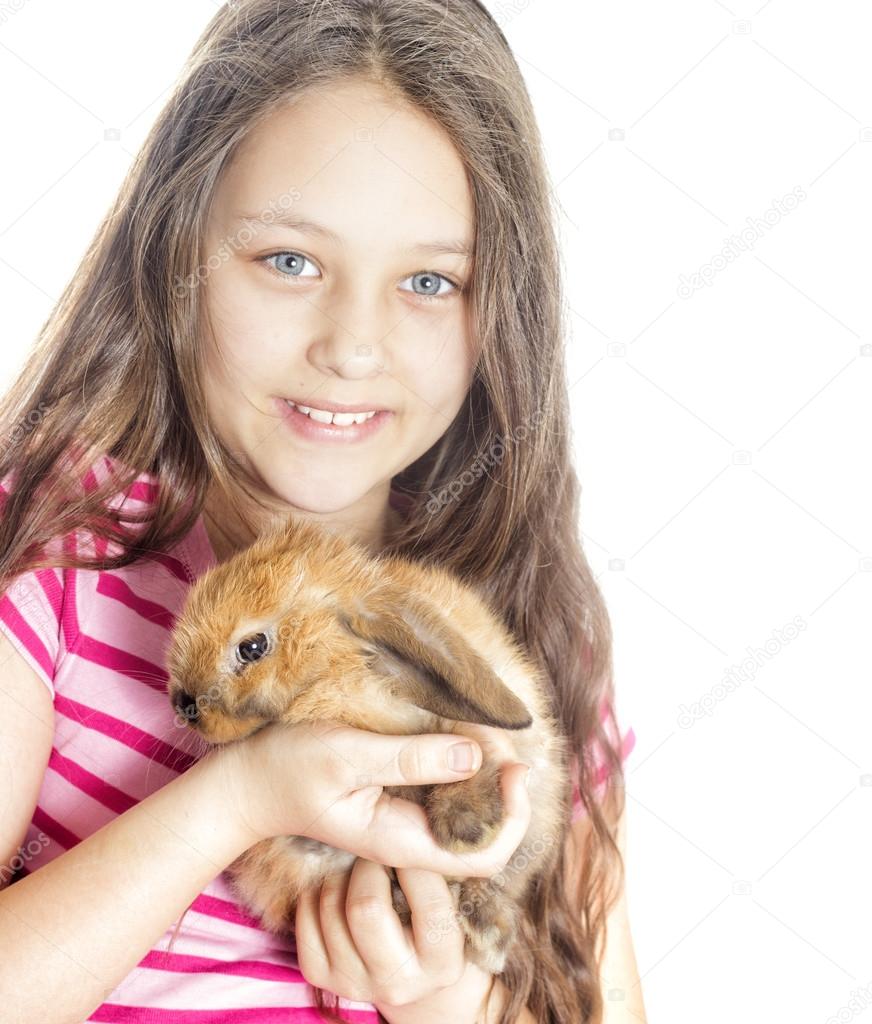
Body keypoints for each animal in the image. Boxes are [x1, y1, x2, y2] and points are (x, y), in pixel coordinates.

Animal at [165, 512, 570, 974]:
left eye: (252, 647)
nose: (182, 704)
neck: (341, 670)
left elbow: (472, 749)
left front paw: (467, 827)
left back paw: (483, 929)